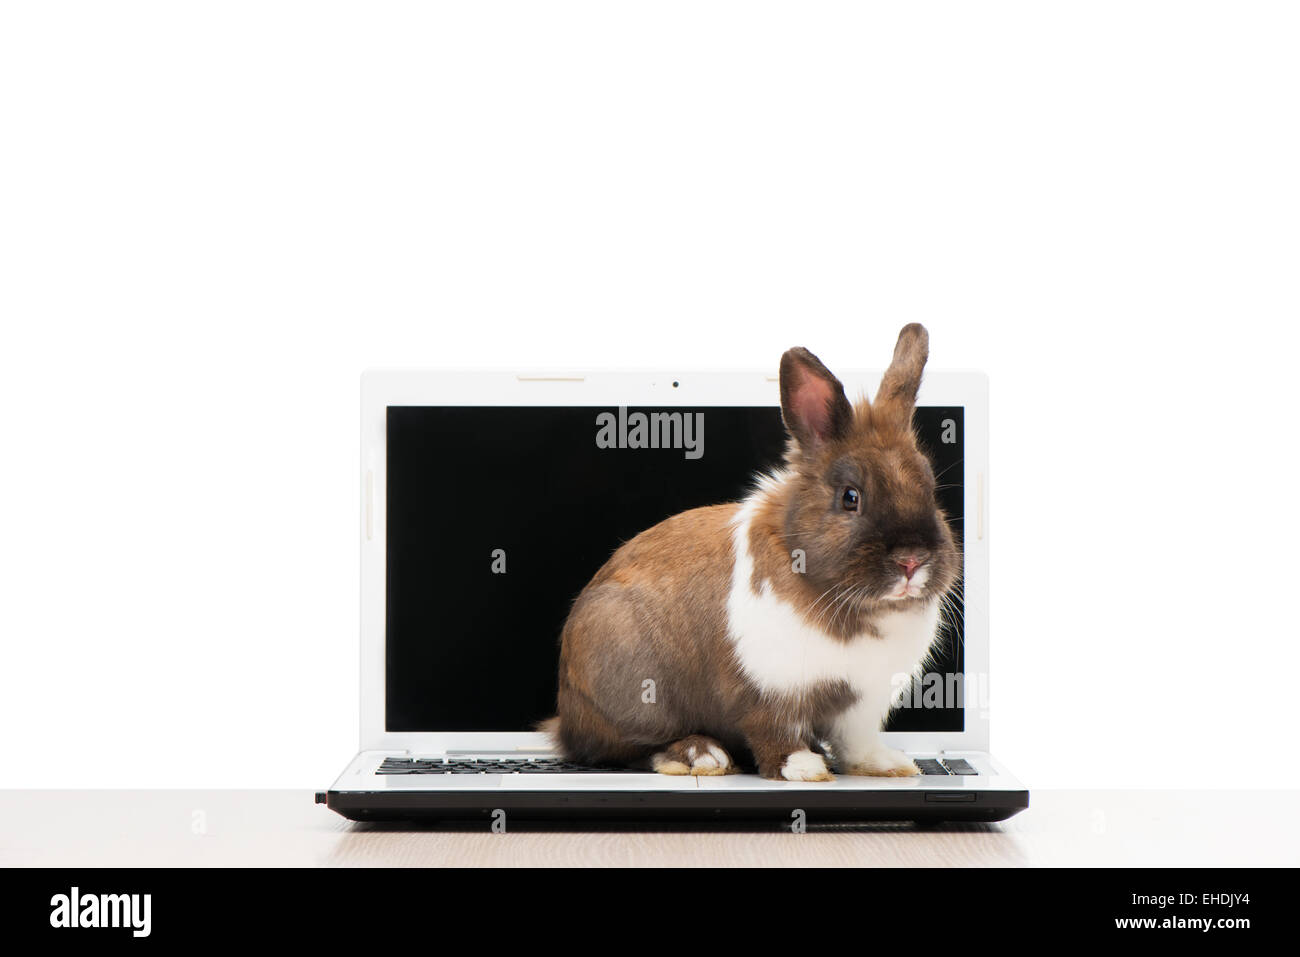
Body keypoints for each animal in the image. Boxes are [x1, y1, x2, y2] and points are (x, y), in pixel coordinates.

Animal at [542, 324, 960, 780]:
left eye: (930, 490)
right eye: (851, 497)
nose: (911, 560)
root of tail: (566, 716)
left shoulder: (861, 704)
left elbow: (855, 742)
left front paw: (888, 764)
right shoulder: (771, 688)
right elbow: (774, 729)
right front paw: (803, 768)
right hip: (629, 690)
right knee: (623, 748)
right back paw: (700, 755)